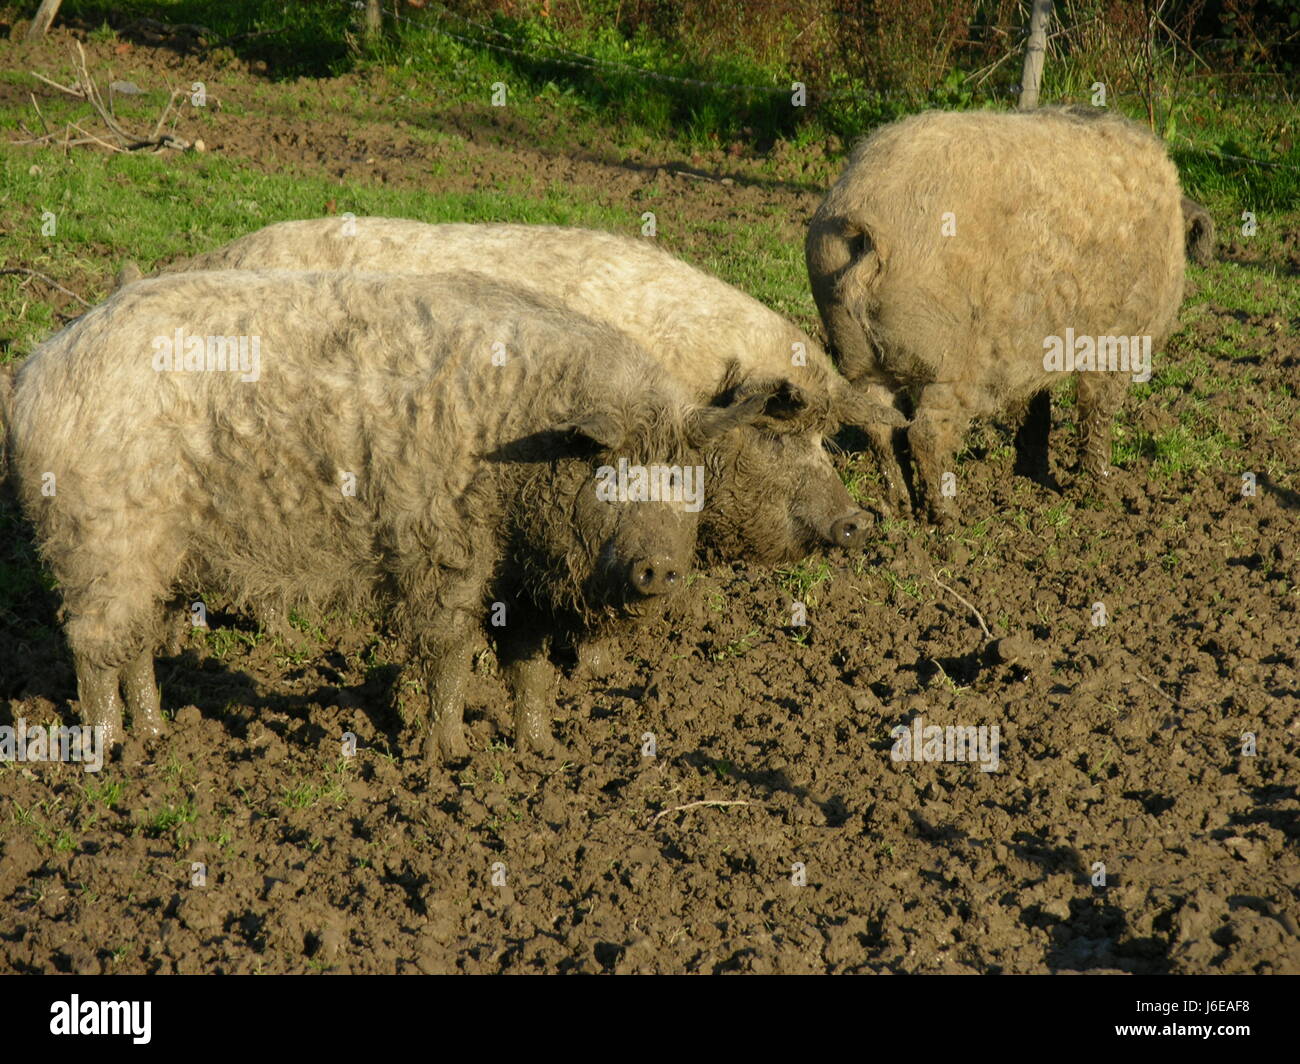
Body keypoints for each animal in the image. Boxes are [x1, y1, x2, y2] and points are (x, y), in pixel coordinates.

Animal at [6, 270, 765, 765]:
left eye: (685, 481)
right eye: (609, 474)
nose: (658, 567)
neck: (521, 445)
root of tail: (37, 372)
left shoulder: (520, 579)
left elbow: (528, 665)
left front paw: (544, 751)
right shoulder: (441, 545)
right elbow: (450, 650)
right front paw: (449, 757)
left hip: (154, 553)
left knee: (136, 643)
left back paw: (159, 737)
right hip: (100, 539)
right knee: (92, 644)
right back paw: (110, 754)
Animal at [806, 107, 1197, 524]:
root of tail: (863, 219)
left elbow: (1036, 407)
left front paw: (1032, 470)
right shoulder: (1121, 336)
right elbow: (1098, 411)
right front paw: (1105, 493)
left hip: (855, 351)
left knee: (879, 425)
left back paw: (899, 510)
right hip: (949, 360)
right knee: (926, 433)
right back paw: (950, 518)